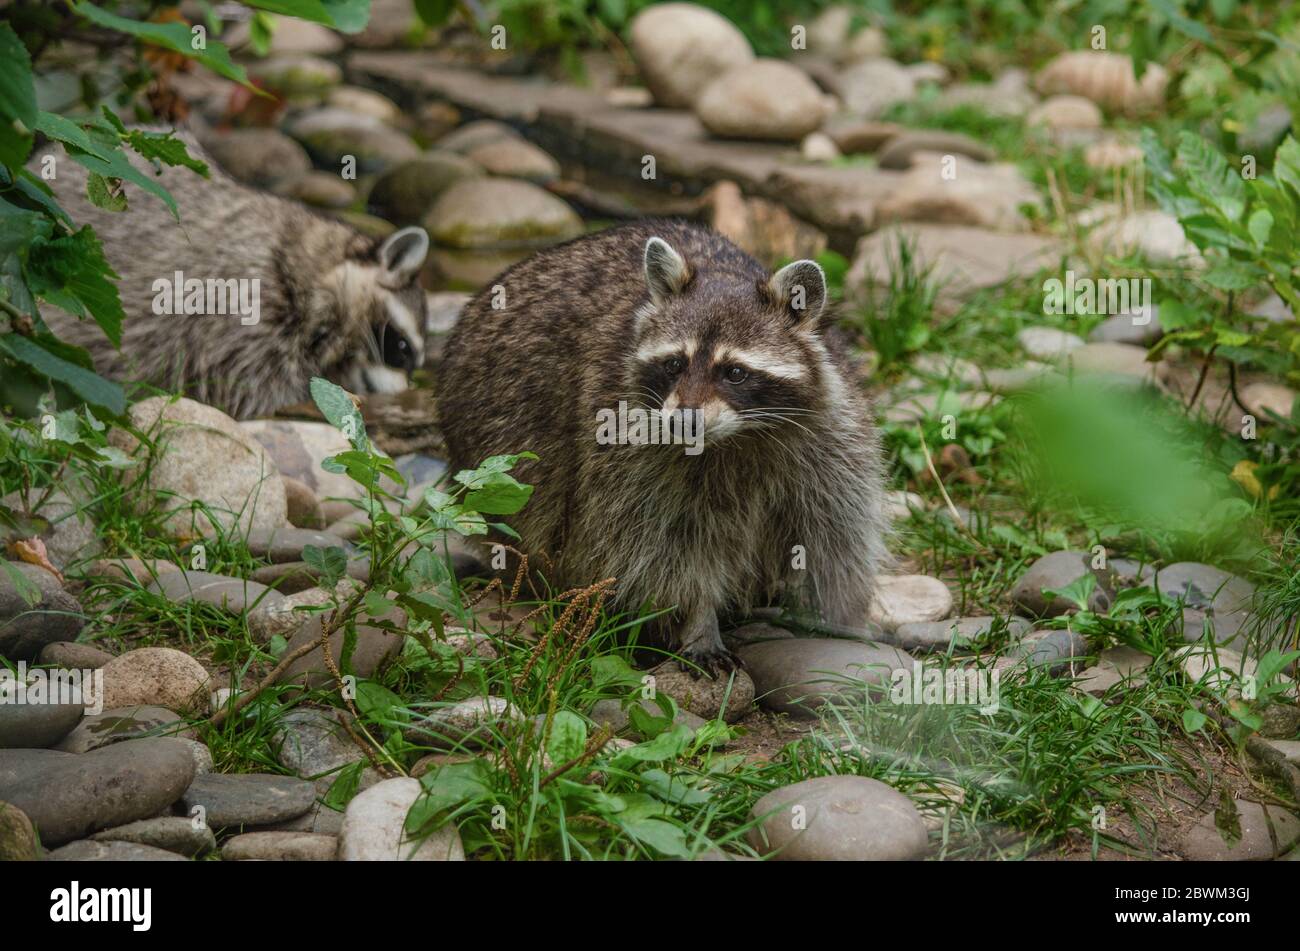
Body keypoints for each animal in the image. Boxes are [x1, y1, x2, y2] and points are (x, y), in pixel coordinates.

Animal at [438, 220, 888, 673]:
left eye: (735, 372)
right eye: (675, 364)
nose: (683, 422)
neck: (734, 439)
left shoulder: (828, 438)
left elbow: (834, 534)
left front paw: (839, 618)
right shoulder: (624, 449)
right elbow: (663, 545)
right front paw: (699, 621)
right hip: (499, 448)